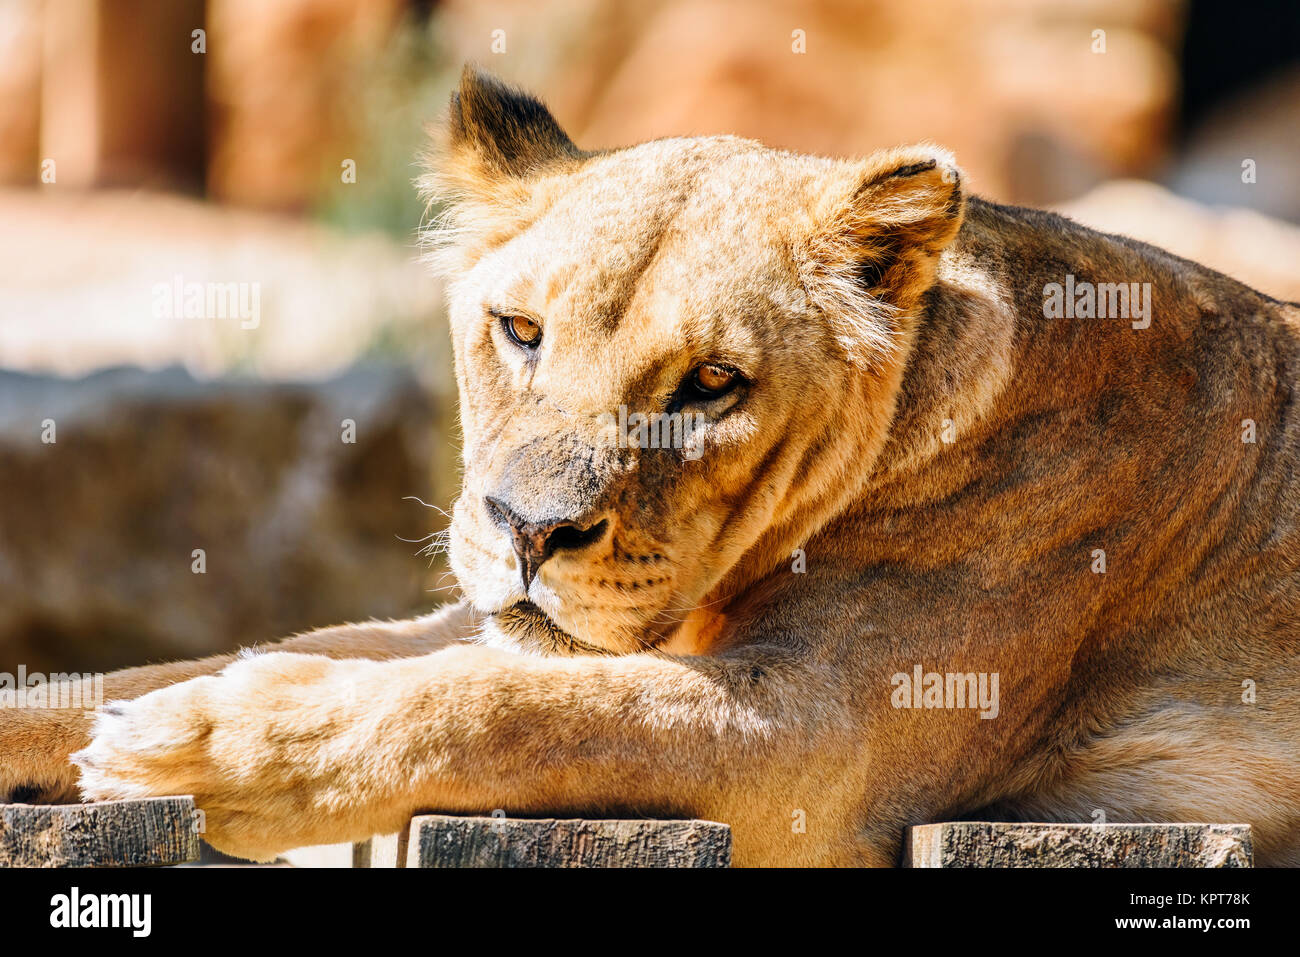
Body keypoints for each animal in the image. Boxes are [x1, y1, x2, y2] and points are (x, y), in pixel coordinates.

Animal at [3, 67, 1298, 867]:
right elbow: (232, 658)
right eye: (520, 331)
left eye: (712, 384)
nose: (527, 532)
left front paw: (200, 748)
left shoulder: (817, 739)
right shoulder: (508, 623)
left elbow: (503, 713)